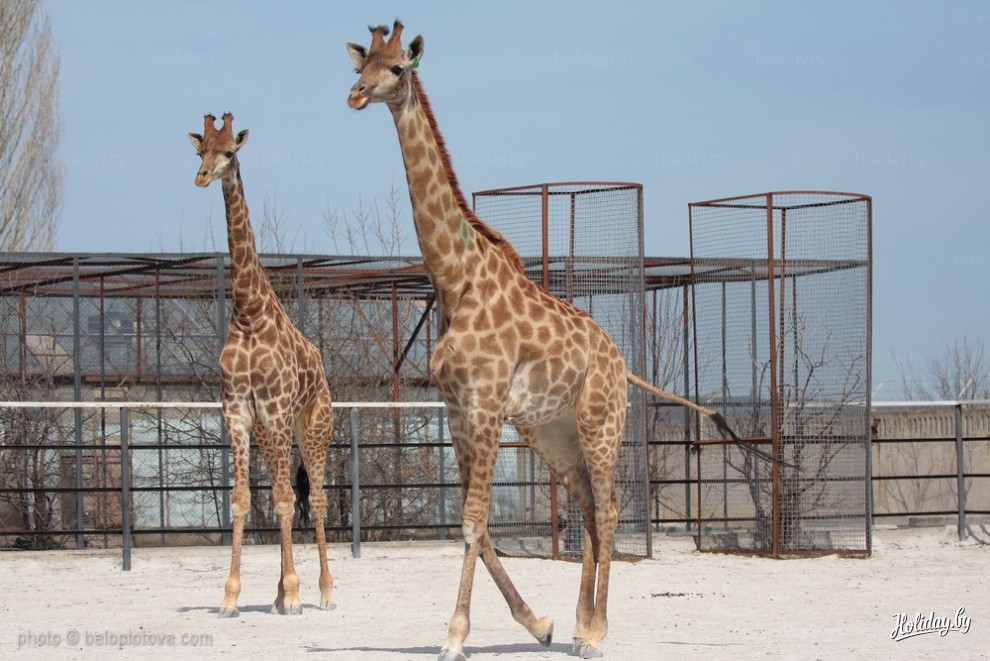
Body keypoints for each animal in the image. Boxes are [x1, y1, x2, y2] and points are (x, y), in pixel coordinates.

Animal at [187, 113, 335, 617]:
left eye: (230, 151)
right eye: (200, 151)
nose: (201, 177)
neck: (250, 315)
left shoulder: (273, 411)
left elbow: (288, 501)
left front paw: (294, 593)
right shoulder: (236, 412)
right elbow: (243, 500)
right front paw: (230, 597)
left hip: (312, 426)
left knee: (317, 498)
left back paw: (323, 592)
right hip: (277, 431)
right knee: (284, 491)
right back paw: (274, 595)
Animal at [347, 22, 757, 660]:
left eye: (396, 69)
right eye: (362, 63)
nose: (356, 94)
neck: (455, 279)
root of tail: (621, 362)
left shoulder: (487, 406)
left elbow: (472, 522)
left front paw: (455, 637)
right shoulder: (458, 409)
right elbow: (480, 525)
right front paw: (538, 624)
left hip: (601, 421)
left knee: (609, 506)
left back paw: (597, 632)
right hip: (552, 431)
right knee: (588, 504)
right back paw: (580, 626)